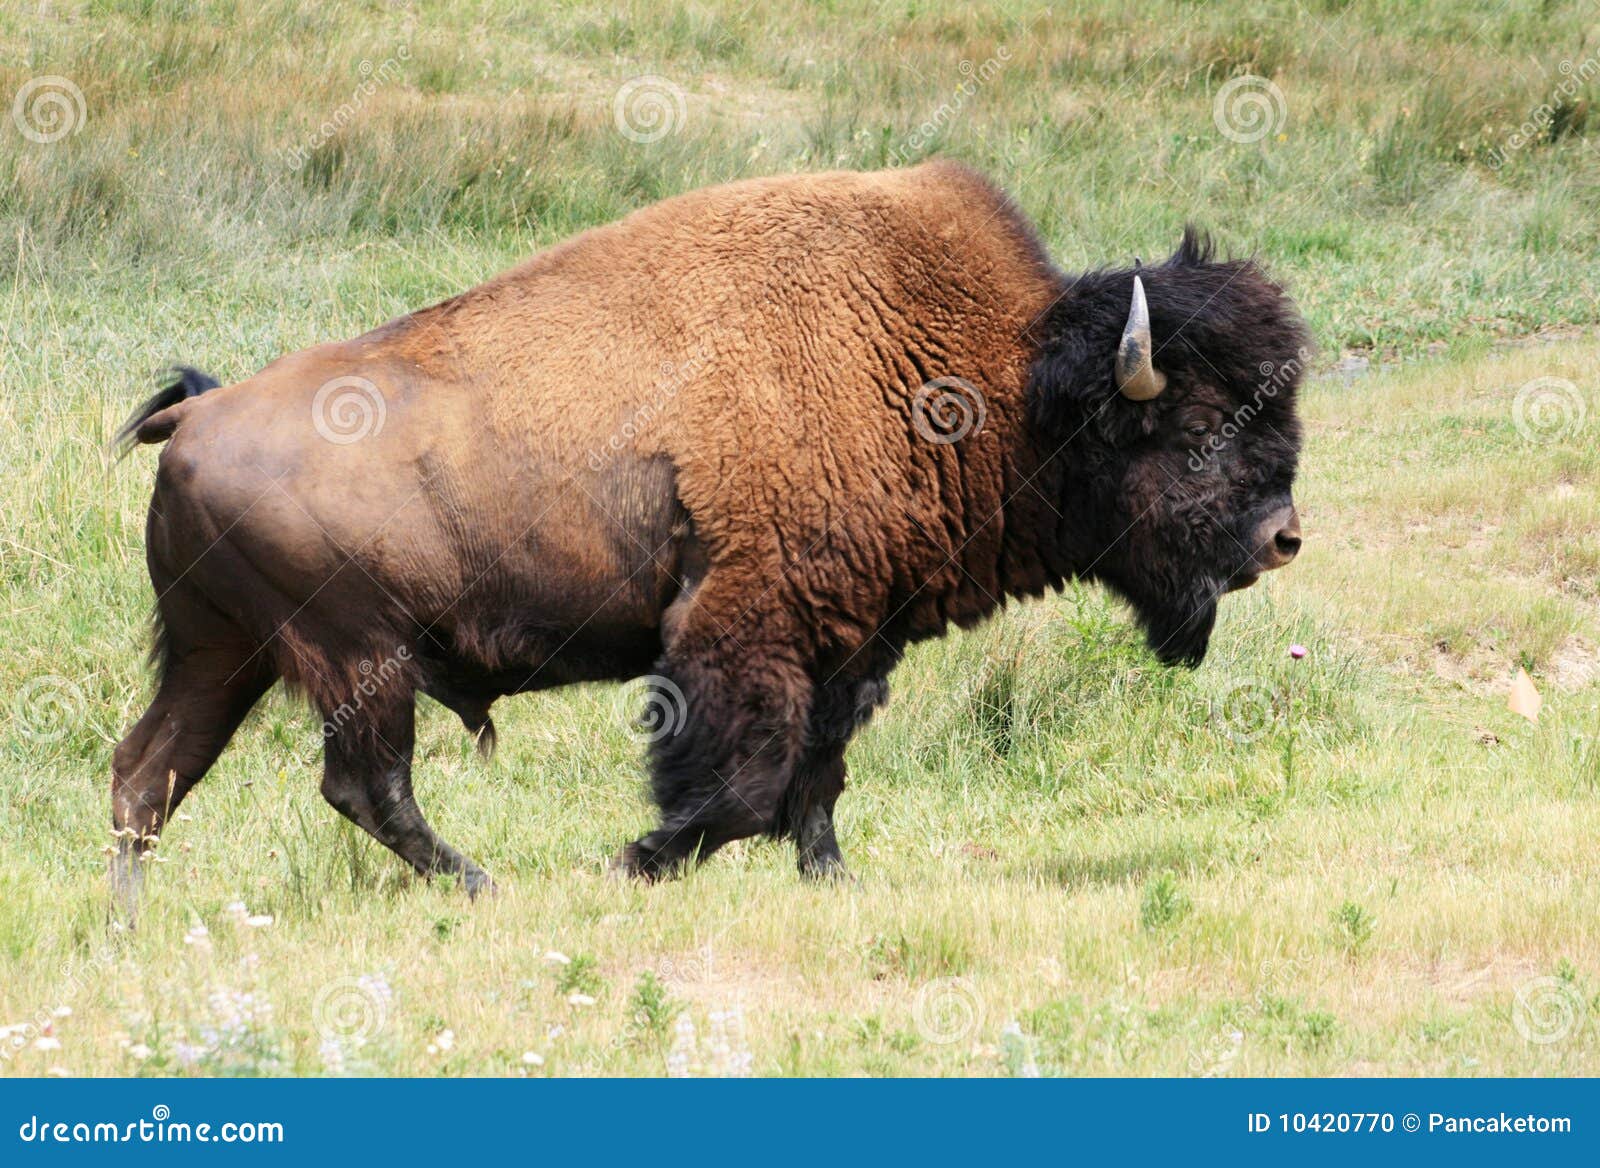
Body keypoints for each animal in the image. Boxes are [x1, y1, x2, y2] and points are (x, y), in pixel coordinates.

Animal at [112, 161, 1306, 906]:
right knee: (363, 786)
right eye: (1194, 428)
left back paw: (128, 923)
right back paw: (489, 886)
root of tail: (200, 413)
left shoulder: (849, 640)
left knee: (148, 774)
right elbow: (743, 785)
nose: (1283, 538)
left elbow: (816, 775)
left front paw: (830, 880)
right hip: (358, 656)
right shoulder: (740, 629)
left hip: (226, 654)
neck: (998, 379)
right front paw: (635, 860)